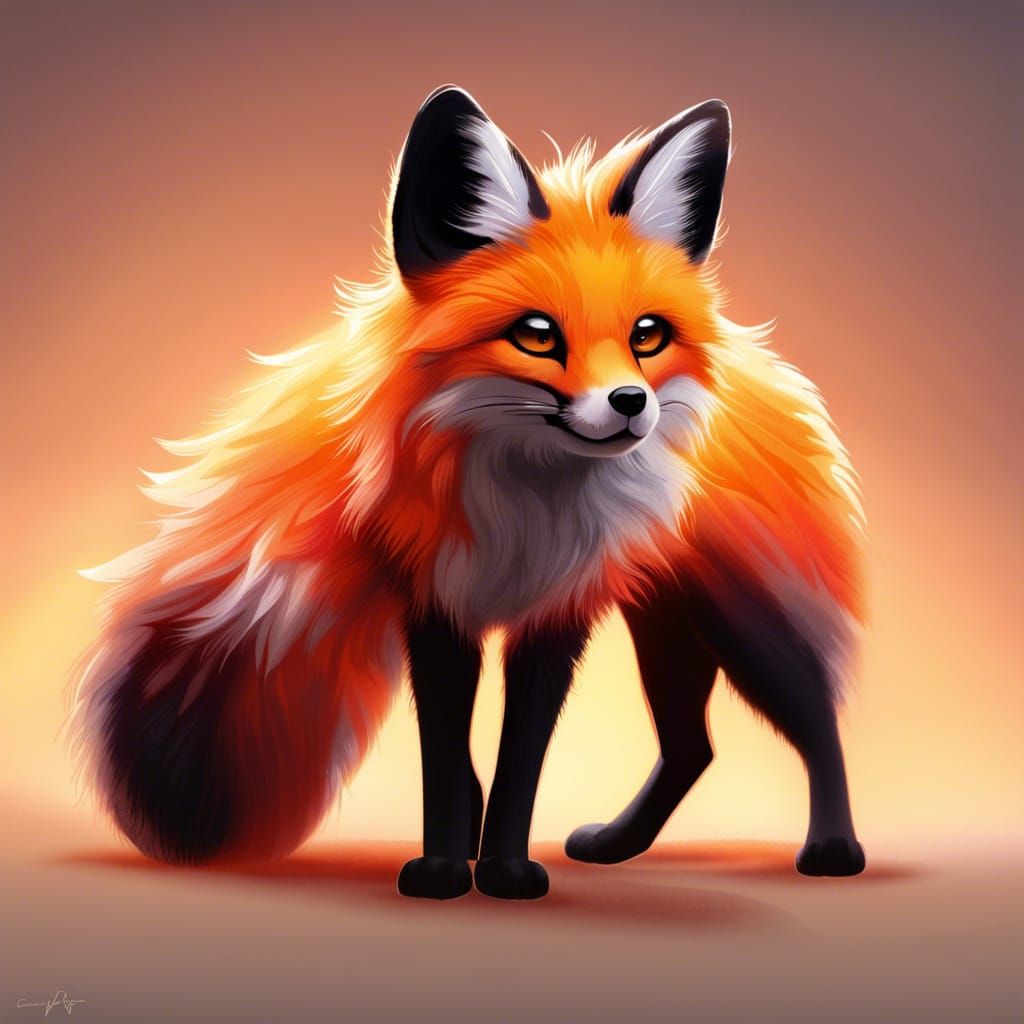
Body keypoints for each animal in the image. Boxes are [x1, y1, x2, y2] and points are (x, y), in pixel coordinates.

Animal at [70, 85, 867, 900]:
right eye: (538, 335)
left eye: (647, 334)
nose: (631, 403)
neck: (526, 513)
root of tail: (766, 364)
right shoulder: (433, 606)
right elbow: (450, 759)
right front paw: (447, 866)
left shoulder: (556, 616)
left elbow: (520, 761)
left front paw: (508, 869)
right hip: (670, 625)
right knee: (692, 748)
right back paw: (618, 843)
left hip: (743, 617)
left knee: (817, 725)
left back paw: (834, 849)